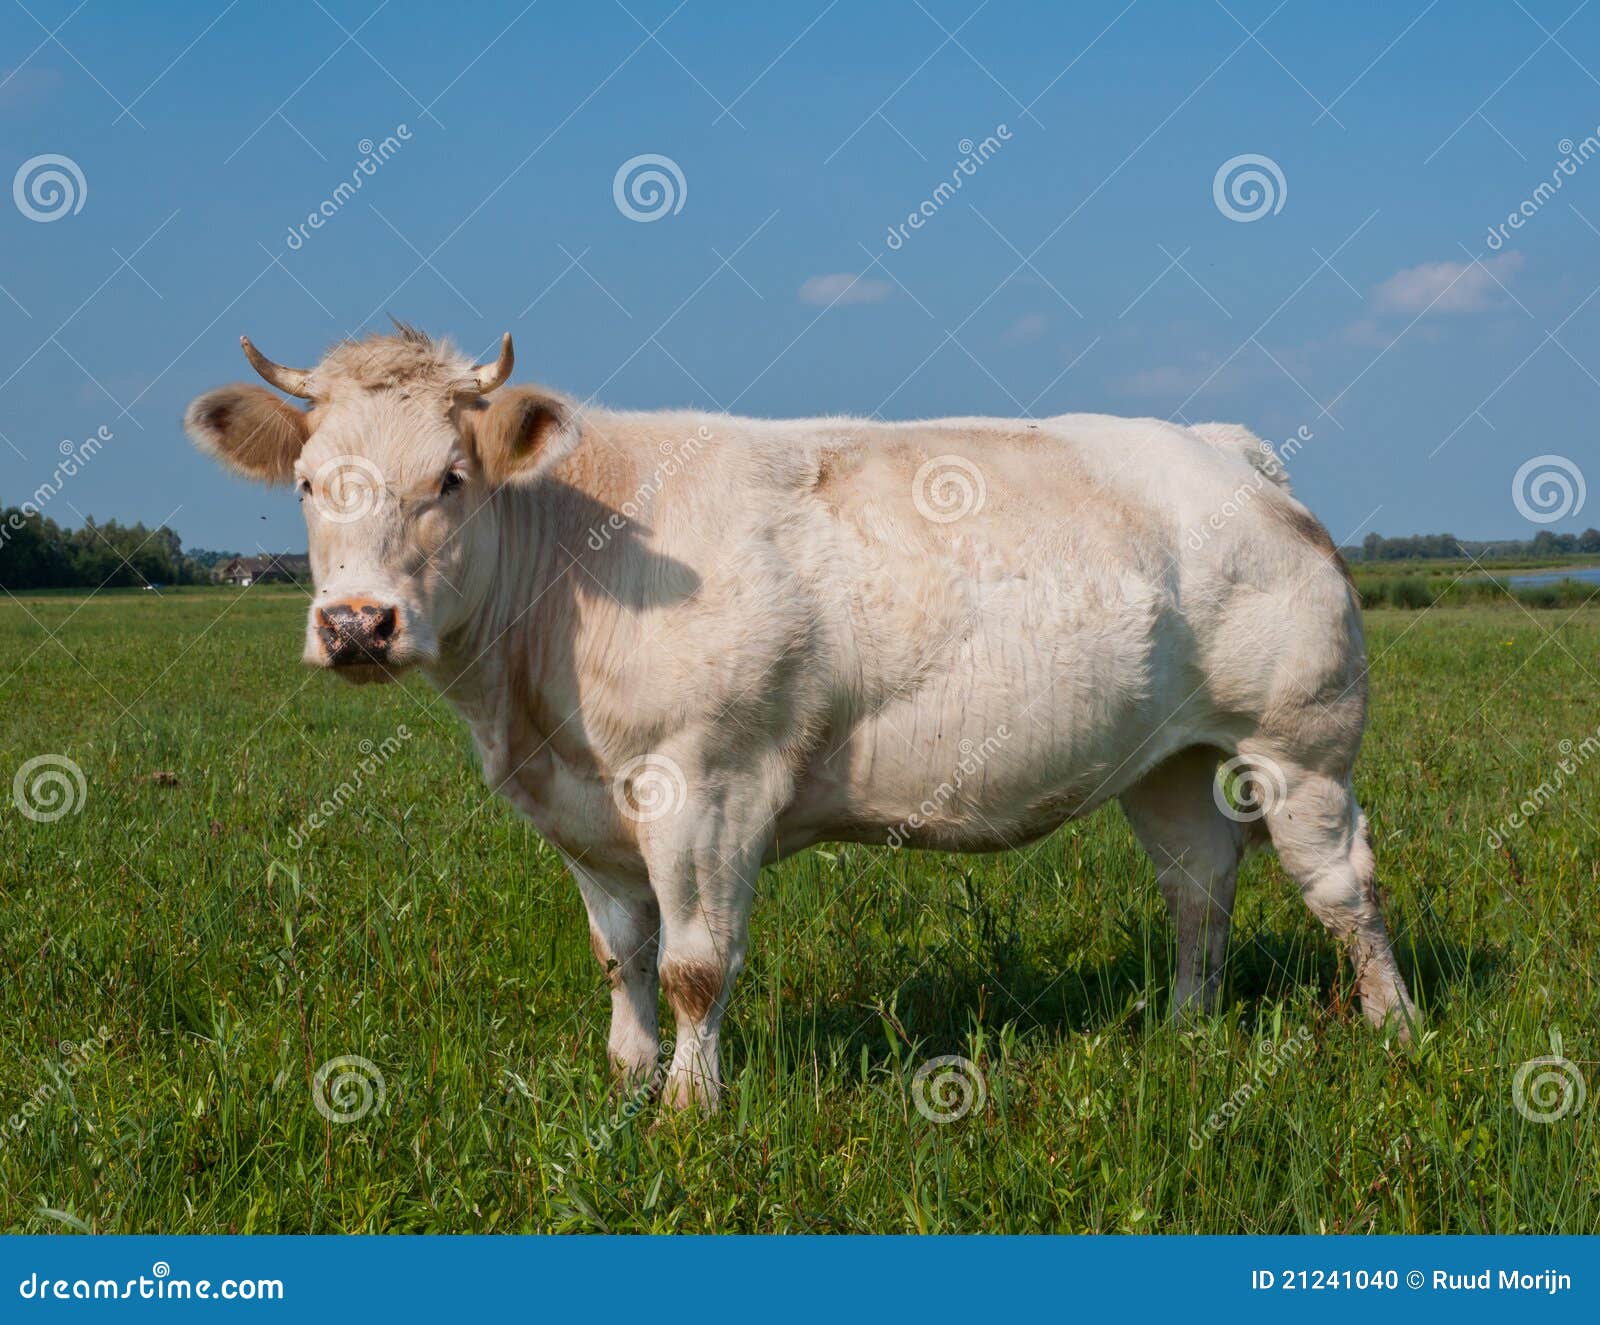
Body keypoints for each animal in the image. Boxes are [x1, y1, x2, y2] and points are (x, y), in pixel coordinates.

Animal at [185, 325, 1417, 1109]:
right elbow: (620, 952)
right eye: (307, 481)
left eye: (449, 477)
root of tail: (1220, 449)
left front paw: (691, 1110)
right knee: (1197, 887)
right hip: (1171, 762)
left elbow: (695, 962)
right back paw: (1185, 1028)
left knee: (1342, 885)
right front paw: (627, 1077)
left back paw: (1395, 1029)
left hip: (1302, 745)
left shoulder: (706, 781)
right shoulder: (583, 808)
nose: (357, 624)